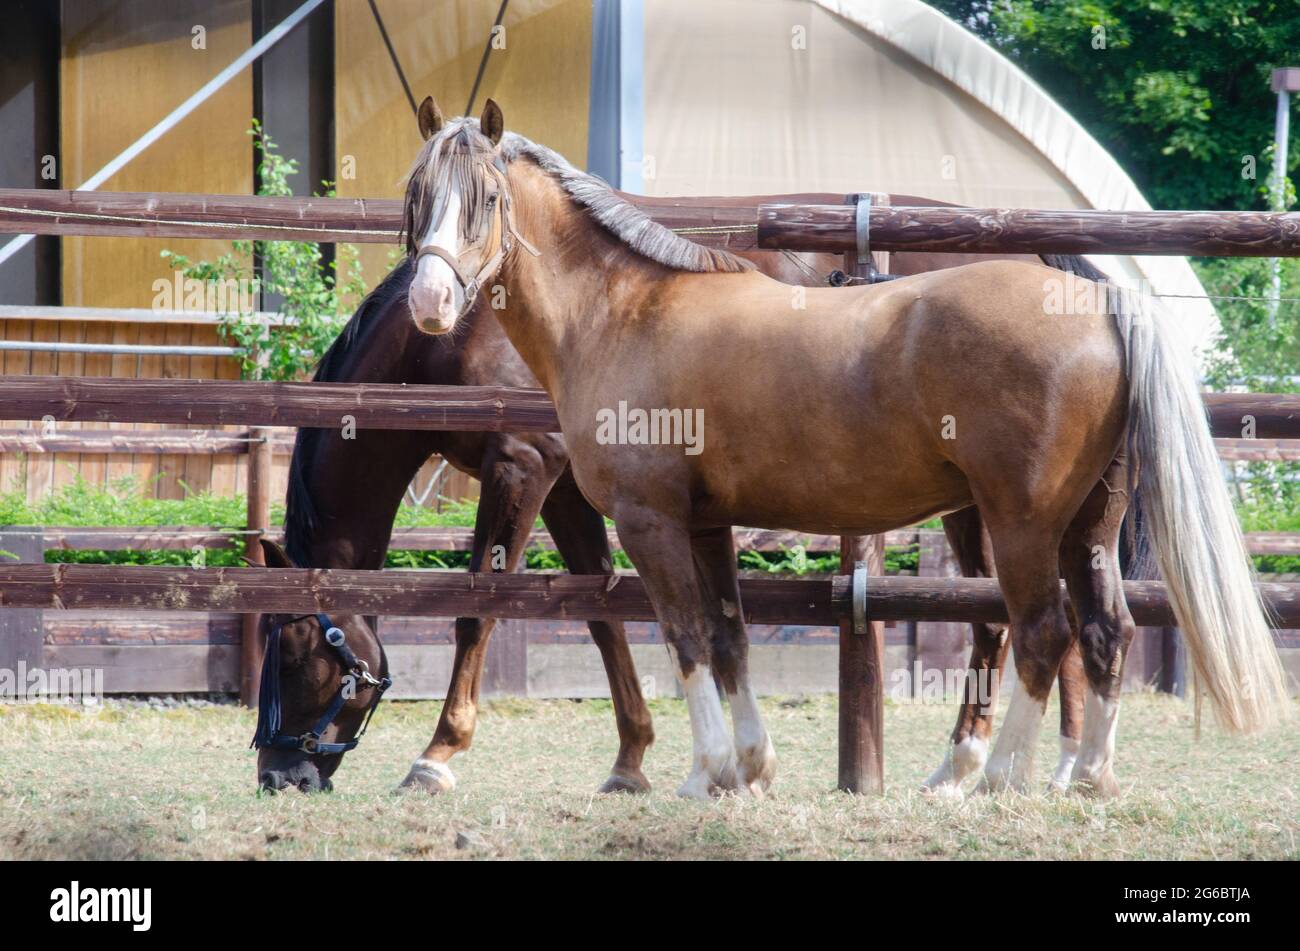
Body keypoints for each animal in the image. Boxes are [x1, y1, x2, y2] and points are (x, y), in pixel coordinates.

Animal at [252, 97, 1108, 795]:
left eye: (296, 648)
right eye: (415, 197)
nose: (278, 772)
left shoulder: (527, 466)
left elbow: (480, 607)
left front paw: (436, 757)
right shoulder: (579, 488)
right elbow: (602, 608)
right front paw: (633, 757)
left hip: (989, 505)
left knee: (1013, 620)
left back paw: (1001, 766)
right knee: (1053, 617)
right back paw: (1053, 764)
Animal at [403, 97, 1288, 799]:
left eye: (486, 197)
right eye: (418, 195)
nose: (430, 300)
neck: (626, 309)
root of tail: (1100, 302)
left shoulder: (649, 520)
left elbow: (685, 637)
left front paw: (704, 772)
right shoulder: (707, 523)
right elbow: (728, 636)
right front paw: (750, 767)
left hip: (1022, 523)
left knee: (1042, 630)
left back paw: (998, 780)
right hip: (1088, 527)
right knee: (1107, 631)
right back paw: (1088, 778)